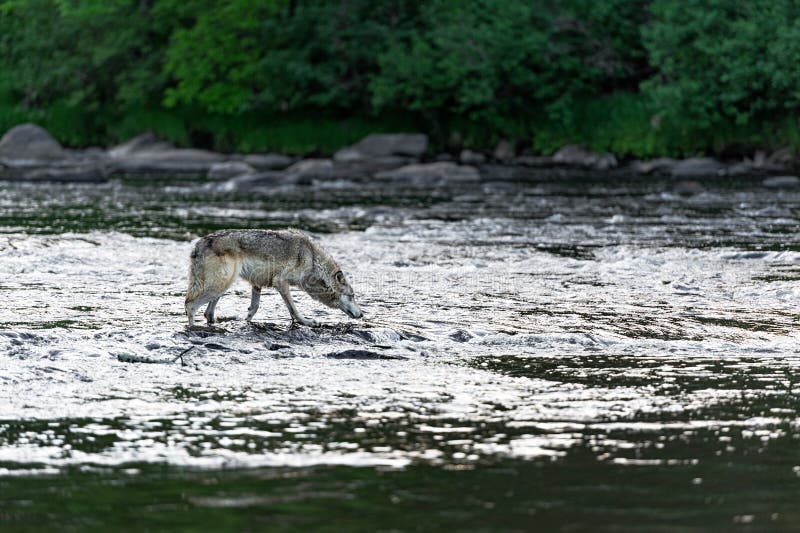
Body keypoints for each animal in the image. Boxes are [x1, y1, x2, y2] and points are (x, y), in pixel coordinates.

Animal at [185, 229, 363, 327]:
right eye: (352, 296)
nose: (362, 314)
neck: (313, 259)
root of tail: (197, 245)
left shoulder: (257, 283)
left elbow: (254, 308)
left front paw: (246, 321)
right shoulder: (281, 282)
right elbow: (293, 309)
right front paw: (306, 322)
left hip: (222, 287)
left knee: (208, 313)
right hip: (220, 286)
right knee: (190, 305)